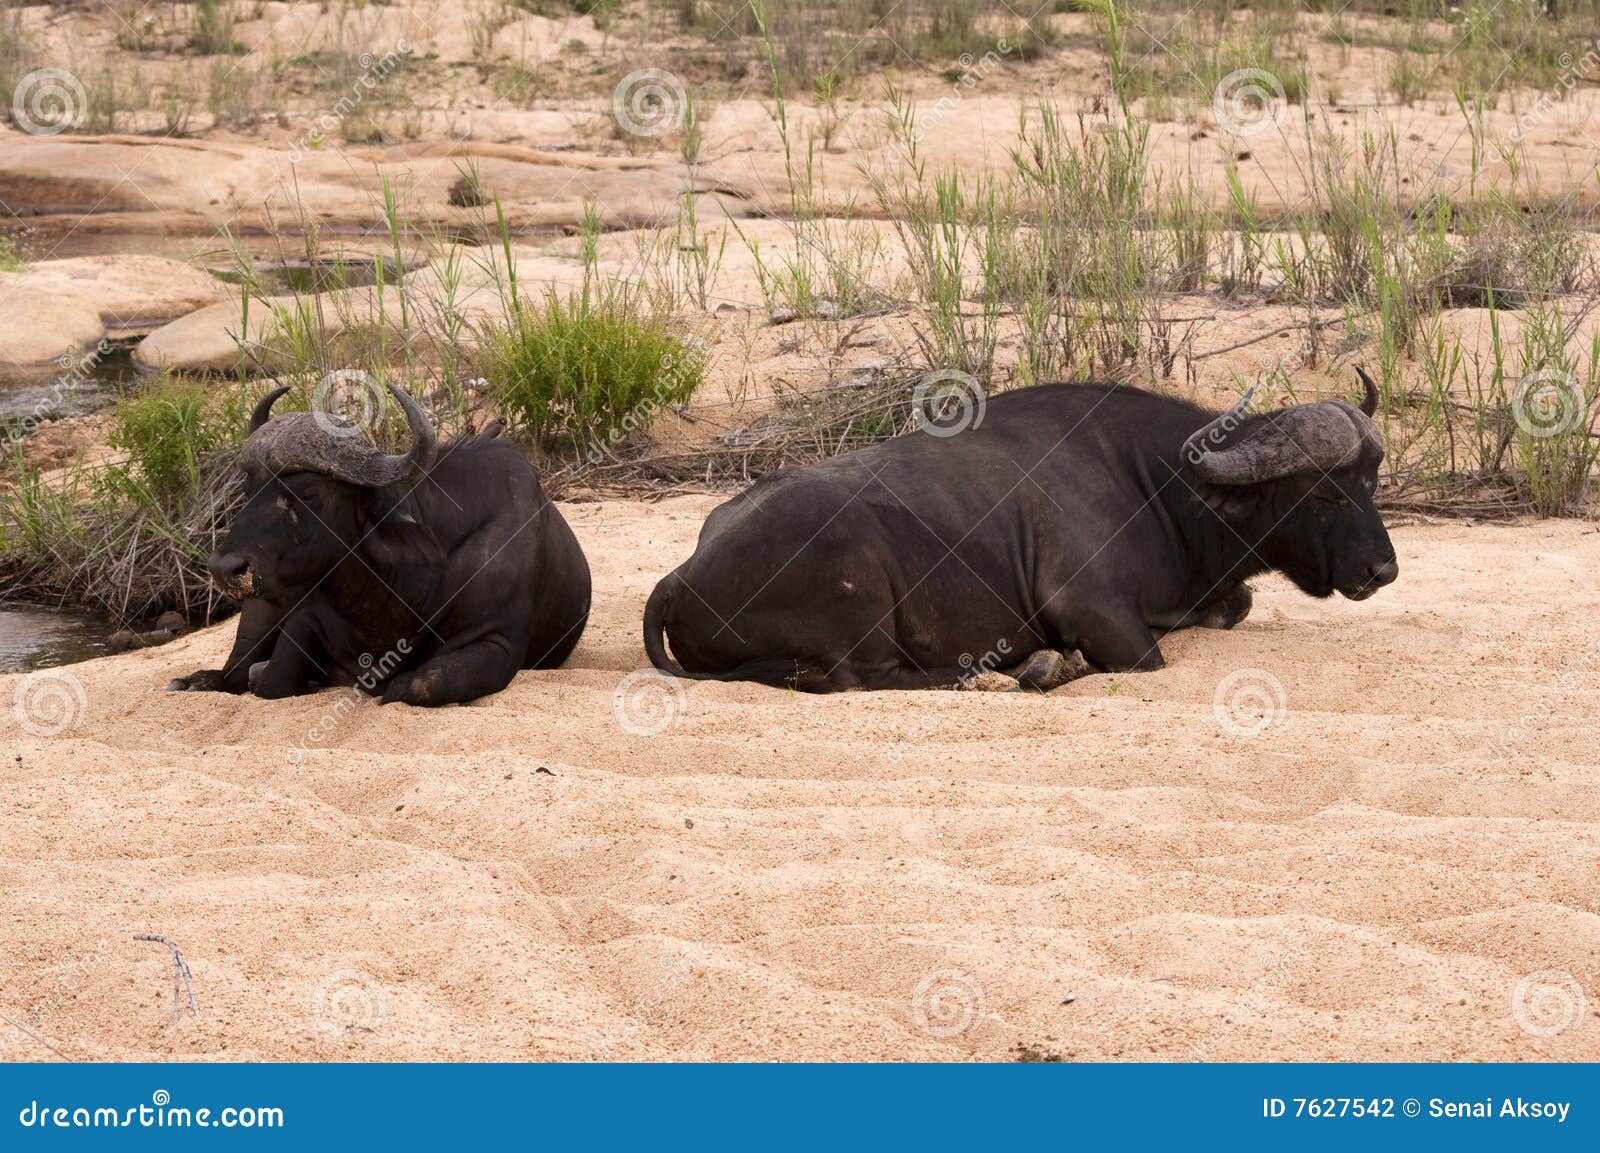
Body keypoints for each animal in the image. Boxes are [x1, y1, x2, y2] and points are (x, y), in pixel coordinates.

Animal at [169, 383, 591, 706]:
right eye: (249, 490)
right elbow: (272, 680)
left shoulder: (498, 639)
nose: (224, 568)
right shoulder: (305, 618)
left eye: (307, 493)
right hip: (259, 608)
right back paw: (194, 680)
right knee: (235, 668)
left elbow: (419, 684)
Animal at [643, 370, 1397, 692]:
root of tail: (681, 574)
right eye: (1326, 492)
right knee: (867, 678)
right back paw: (1021, 669)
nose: (1382, 569)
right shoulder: (1096, 613)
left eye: (1372, 481)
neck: (1154, 487)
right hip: (863, 601)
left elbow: (1233, 606)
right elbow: (1147, 658)